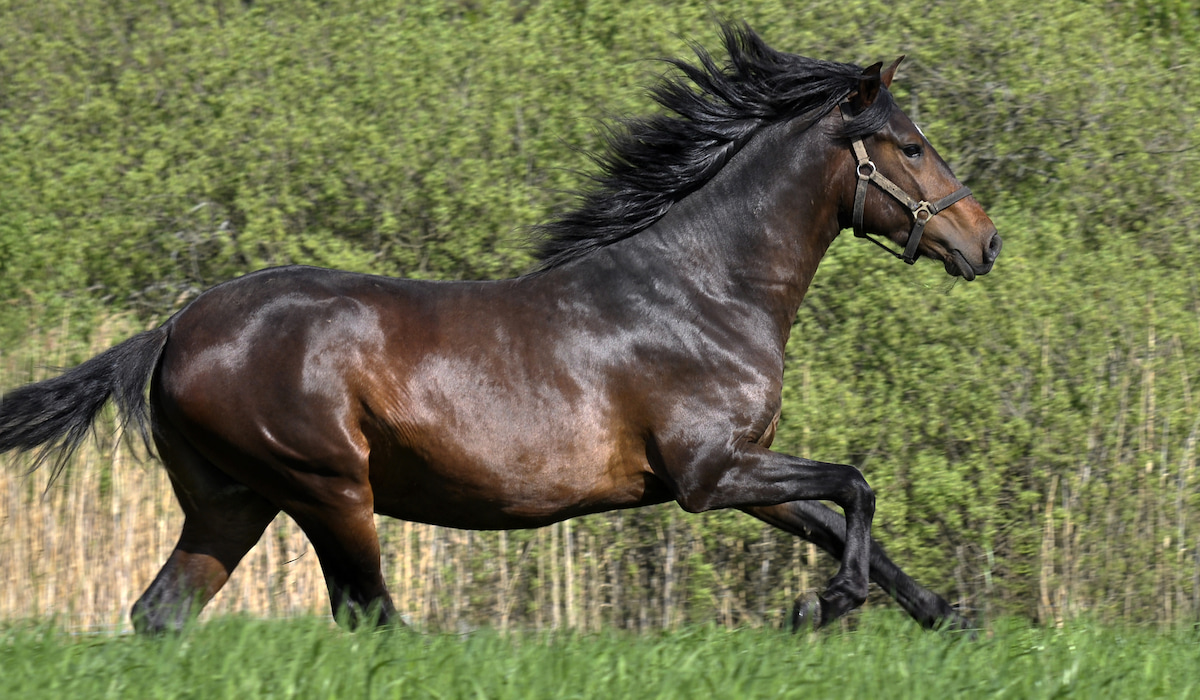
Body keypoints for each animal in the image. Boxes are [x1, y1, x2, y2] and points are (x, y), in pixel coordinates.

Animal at [0, 23, 1000, 635]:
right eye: (911, 145)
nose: (983, 241)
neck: (705, 293)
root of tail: (173, 329)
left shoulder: (739, 471)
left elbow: (835, 518)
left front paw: (945, 616)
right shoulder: (708, 474)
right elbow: (858, 489)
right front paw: (822, 607)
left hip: (233, 500)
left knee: (161, 614)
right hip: (329, 490)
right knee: (370, 616)